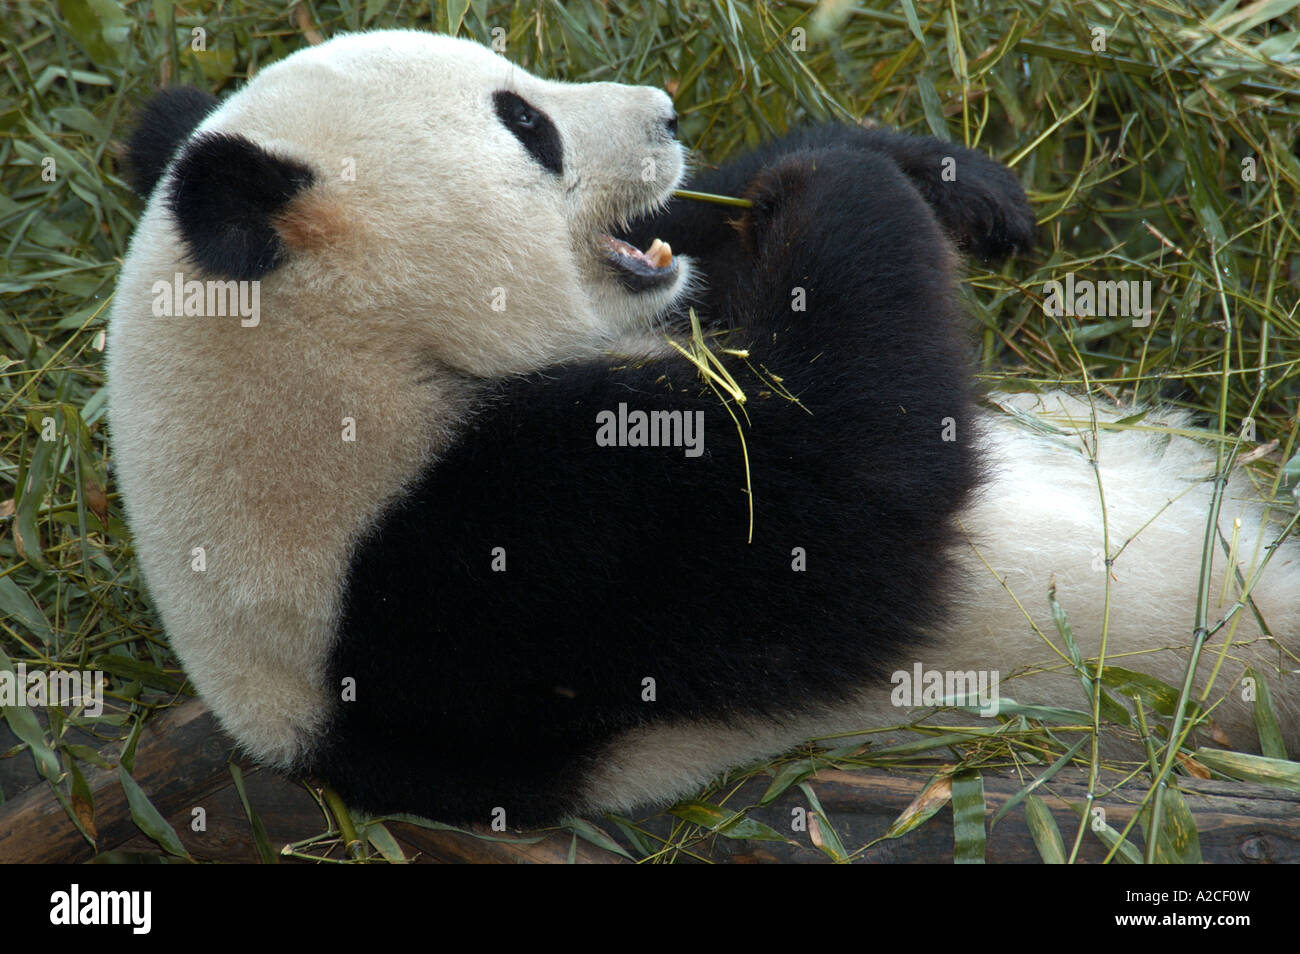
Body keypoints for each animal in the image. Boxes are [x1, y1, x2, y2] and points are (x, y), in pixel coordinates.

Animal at [107, 29, 1300, 829]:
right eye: (525, 123)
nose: (669, 109)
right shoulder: (484, 558)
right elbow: (840, 496)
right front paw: (844, 182)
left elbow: (722, 258)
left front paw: (926, 171)